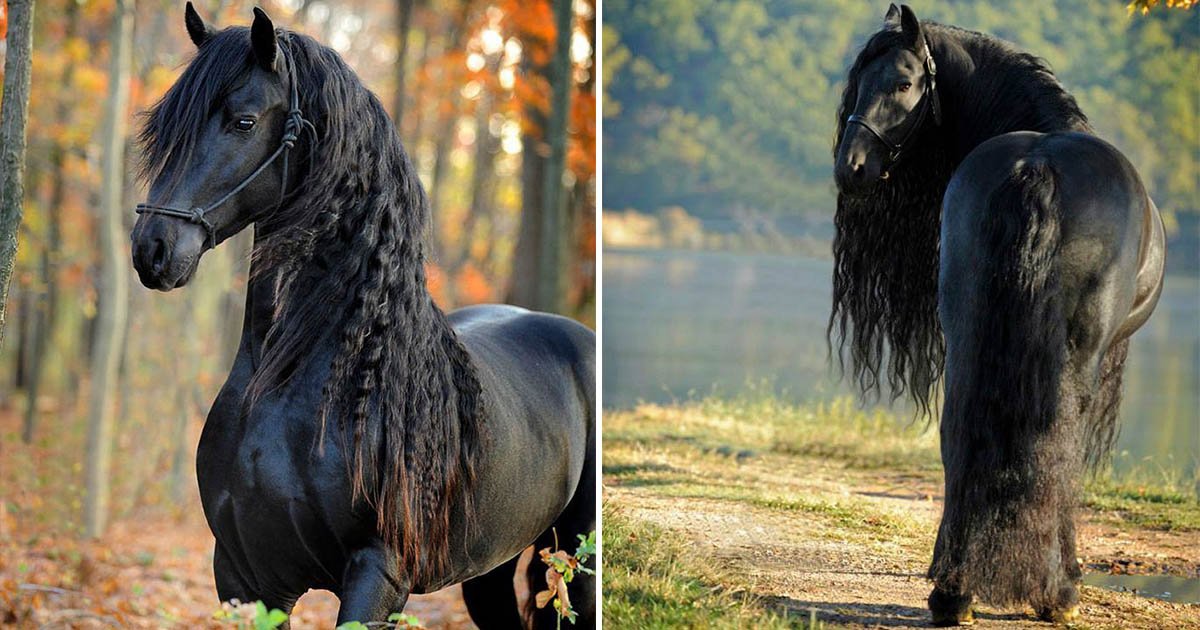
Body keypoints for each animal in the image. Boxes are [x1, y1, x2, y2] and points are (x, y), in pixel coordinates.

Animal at [129, 5, 595, 627]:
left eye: (244, 122)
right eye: (164, 128)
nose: (152, 249)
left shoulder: (377, 574)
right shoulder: (242, 576)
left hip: (575, 556)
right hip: (488, 569)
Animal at [831, 5, 1164, 625]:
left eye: (902, 83)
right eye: (860, 82)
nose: (852, 167)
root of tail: (1038, 167)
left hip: (969, 331)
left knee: (962, 429)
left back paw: (953, 591)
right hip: (1073, 355)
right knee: (1059, 442)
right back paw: (1058, 593)